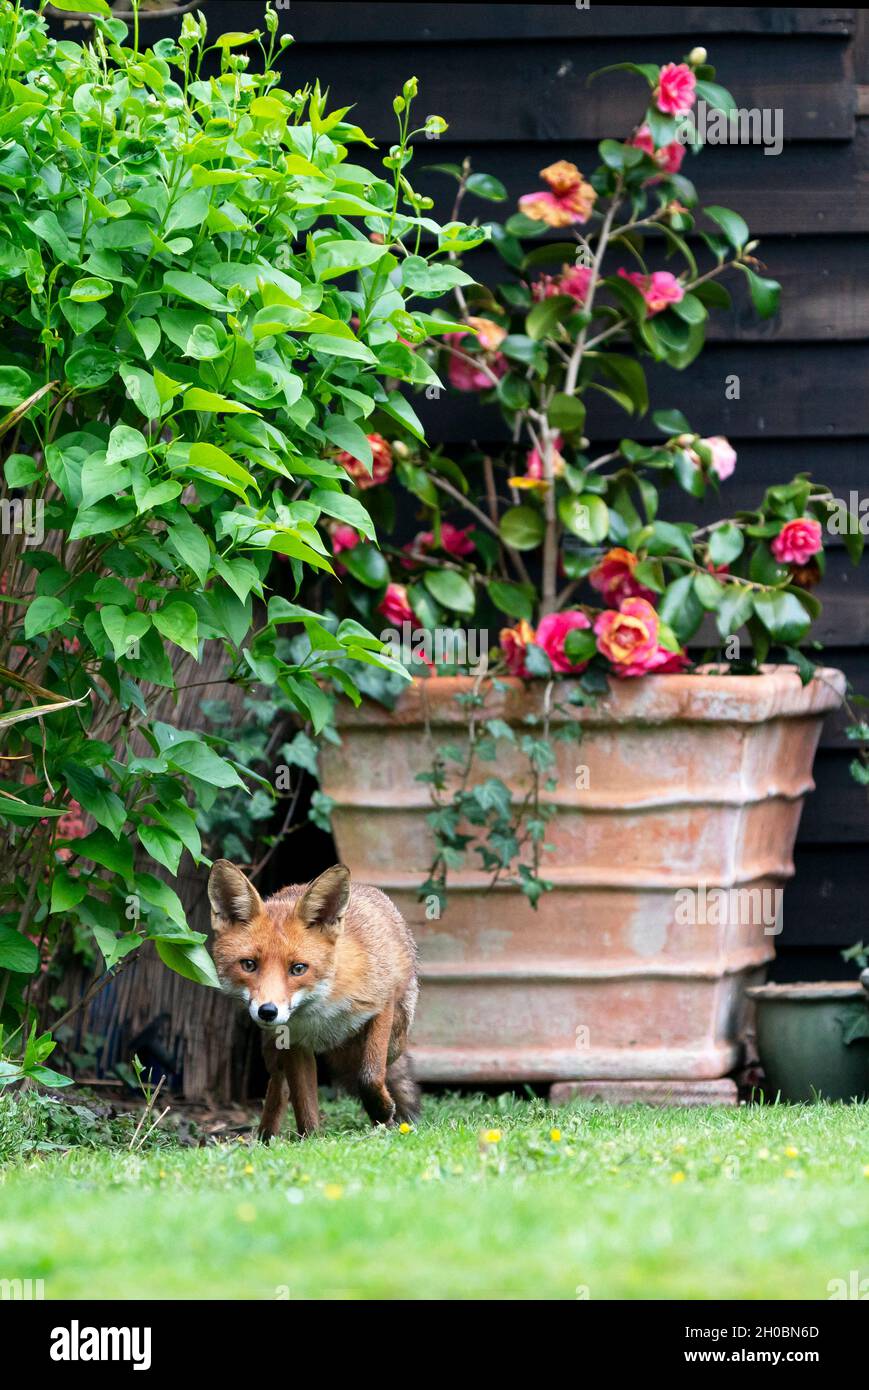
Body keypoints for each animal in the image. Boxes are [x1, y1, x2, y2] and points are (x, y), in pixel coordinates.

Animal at [208, 858, 420, 1141]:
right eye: (249, 965)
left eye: (298, 968)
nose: (267, 1011)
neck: (321, 1010)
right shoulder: (294, 1042)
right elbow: (304, 1105)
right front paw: (312, 1142)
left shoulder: (382, 1004)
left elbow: (370, 1074)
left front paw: (381, 1111)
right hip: (273, 1051)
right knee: (279, 1085)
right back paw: (266, 1136)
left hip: (396, 1037)